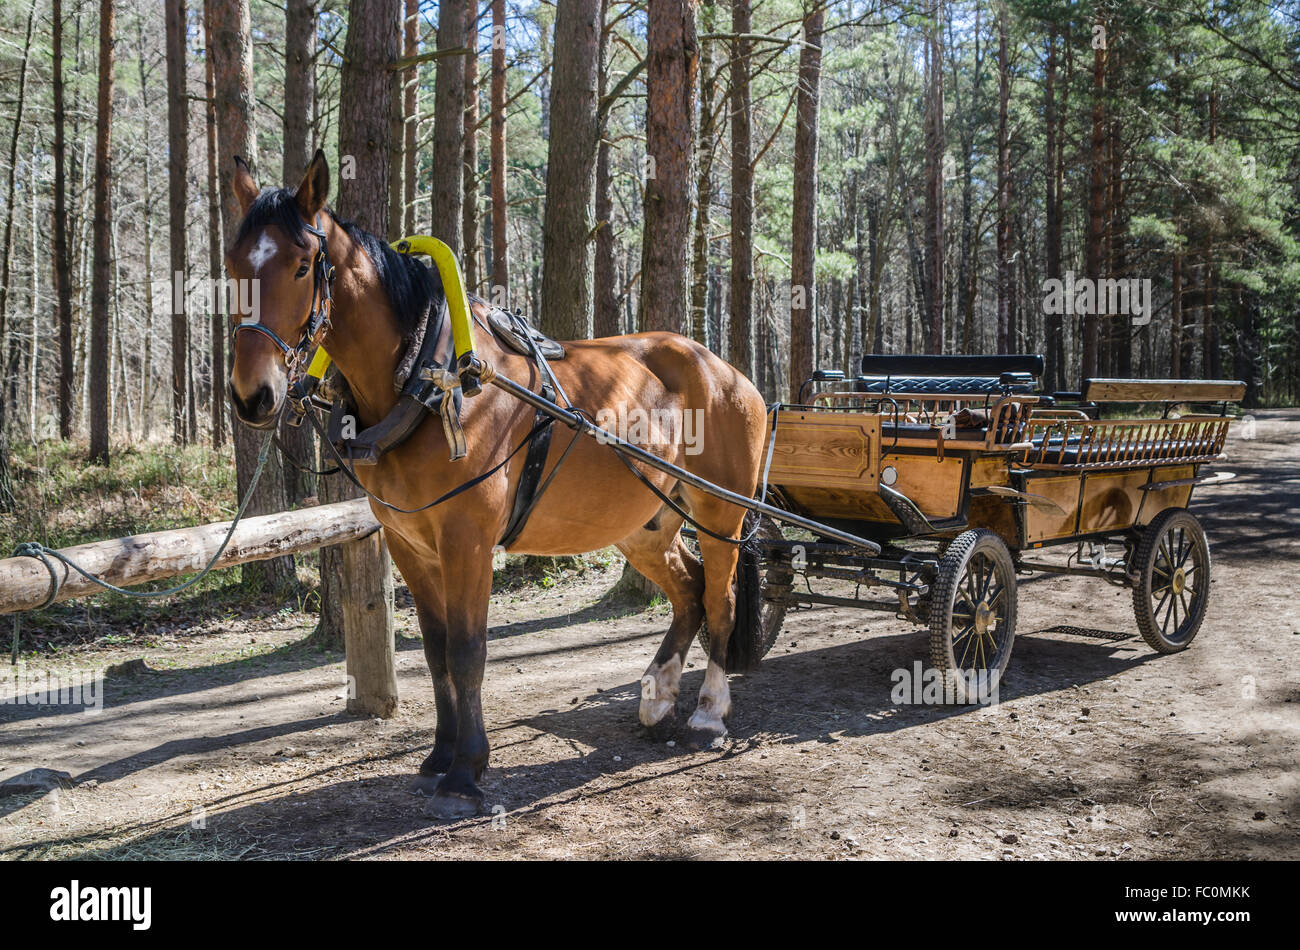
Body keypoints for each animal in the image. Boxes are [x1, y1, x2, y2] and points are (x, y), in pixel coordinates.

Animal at [225, 151, 769, 818]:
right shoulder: (410, 544)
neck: (426, 379)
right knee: (689, 590)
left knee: (720, 599)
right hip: (645, 522)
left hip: (720, 512)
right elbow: (435, 651)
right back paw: (660, 692)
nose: (253, 395)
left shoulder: (468, 539)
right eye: (233, 264)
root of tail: (724, 369)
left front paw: (467, 769)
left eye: (302, 266)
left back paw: (709, 713)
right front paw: (438, 756)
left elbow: (467, 651)